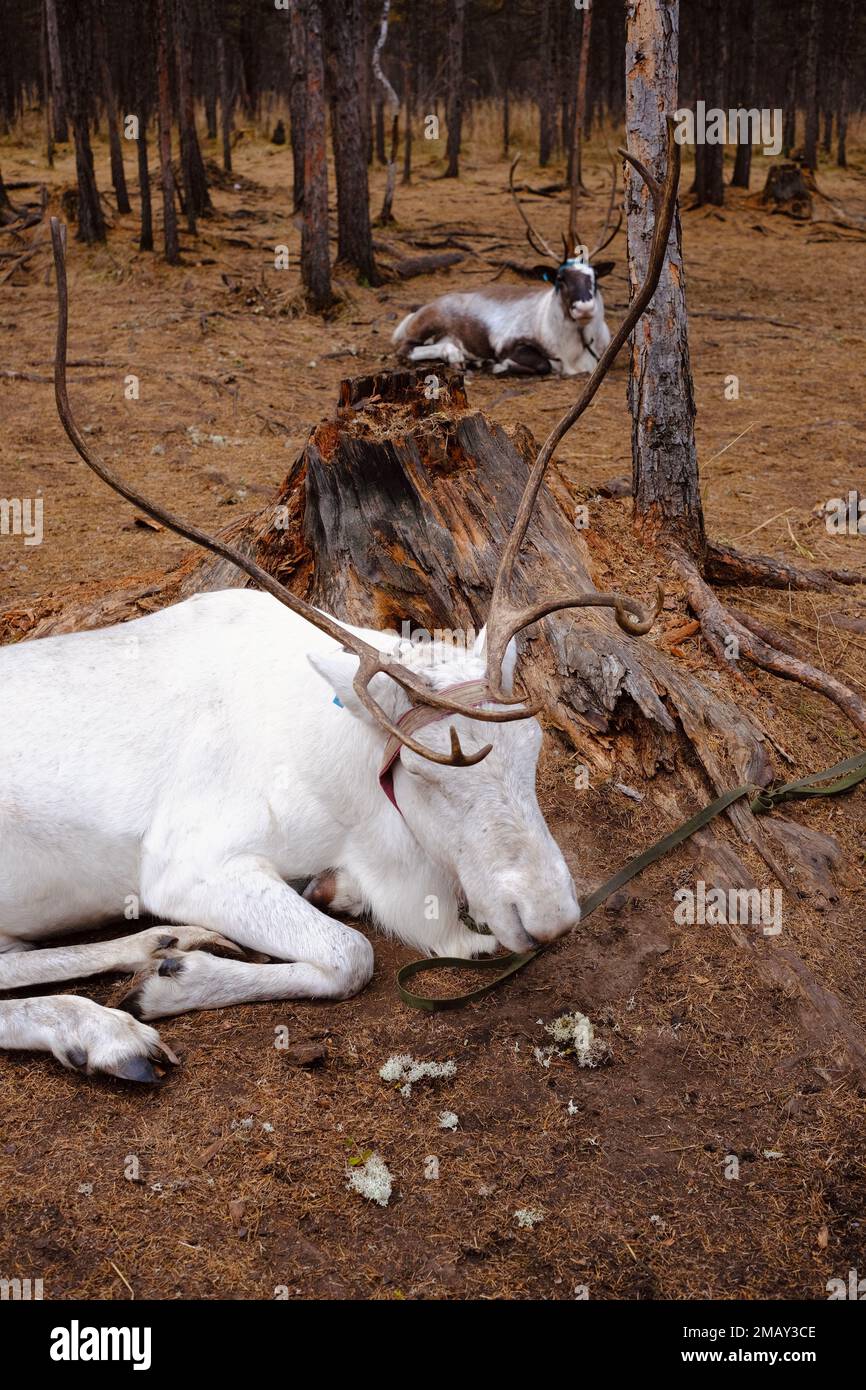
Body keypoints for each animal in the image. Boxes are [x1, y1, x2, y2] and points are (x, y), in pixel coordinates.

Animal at [392, 156, 623, 378]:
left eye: (595, 276)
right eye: (560, 278)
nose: (584, 308)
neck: (575, 351)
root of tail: (417, 312)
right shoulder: (509, 344)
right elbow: (544, 364)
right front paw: (493, 365)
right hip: (428, 325)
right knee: (405, 349)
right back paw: (459, 357)